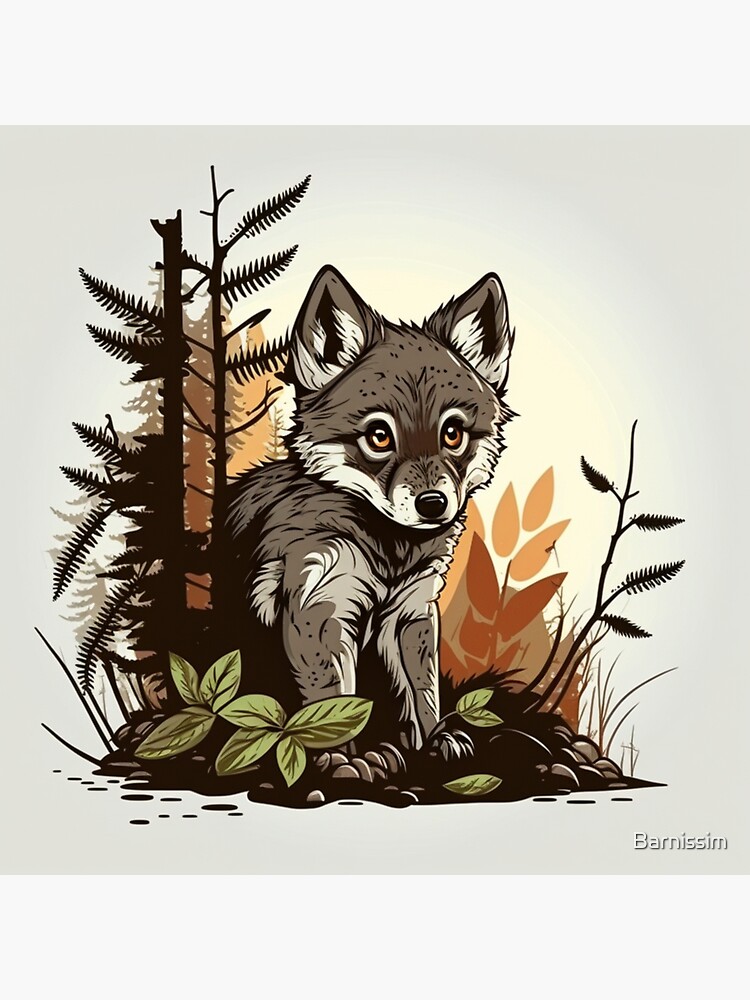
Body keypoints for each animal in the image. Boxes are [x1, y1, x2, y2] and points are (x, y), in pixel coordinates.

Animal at [226, 265, 515, 751]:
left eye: (452, 434)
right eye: (379, 437)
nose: (433, 504)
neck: (389, 552)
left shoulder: (412, 611)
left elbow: (423, 693)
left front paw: (434, 740)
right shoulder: (318, 609)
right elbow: (333, 705)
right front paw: (340, 761)